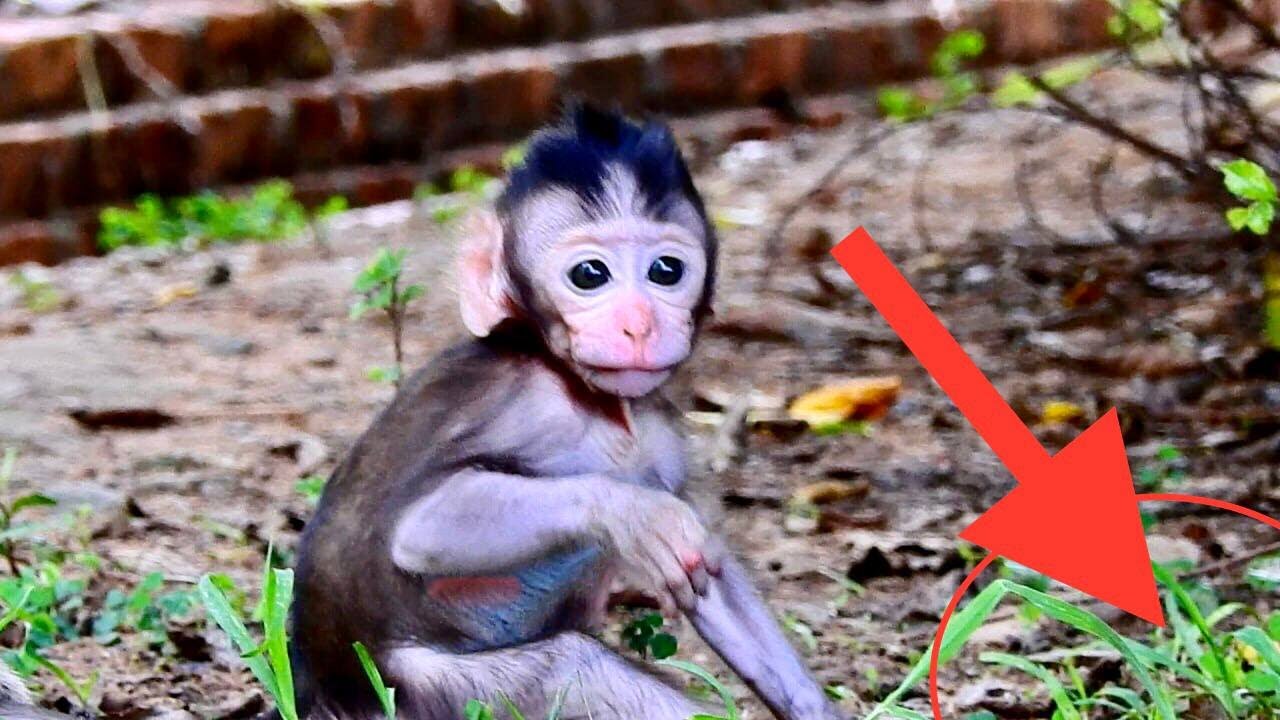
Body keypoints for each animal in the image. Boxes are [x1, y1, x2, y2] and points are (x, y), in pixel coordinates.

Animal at [290, 104, 848, 720]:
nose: (638, 324)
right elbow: (423, 529)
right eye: (589, 275)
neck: (593, 400)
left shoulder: (661, 436)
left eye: (666, 270)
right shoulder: (527, 404)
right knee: (572, 667)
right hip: (416, 693)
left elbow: (715, 578)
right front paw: (634, 515)